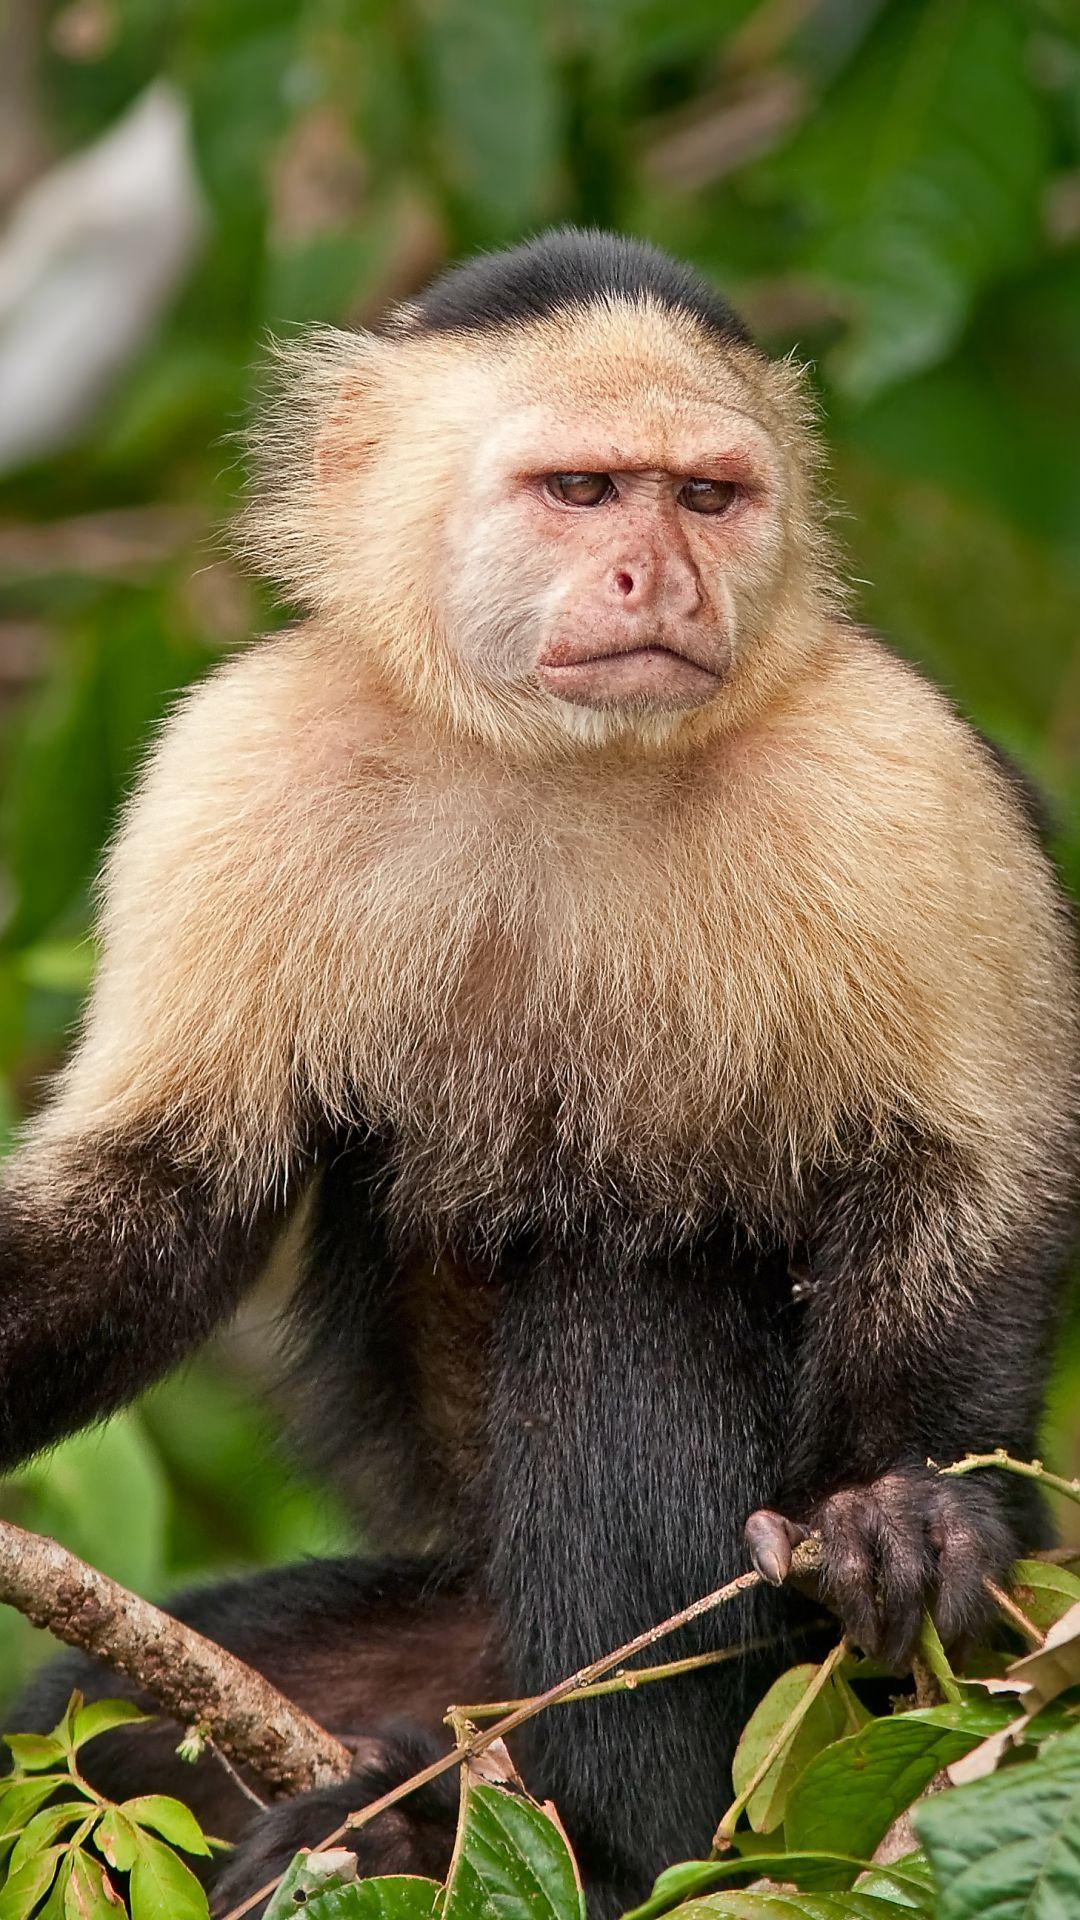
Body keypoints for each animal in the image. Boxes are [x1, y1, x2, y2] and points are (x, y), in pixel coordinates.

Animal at [2, 227, 1078, 1917]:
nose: (664, 576)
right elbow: (158, 1207)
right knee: (95, 1724)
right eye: (581, 490)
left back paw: (584, 1836)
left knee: (619, 1297)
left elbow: (976, 1175)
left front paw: (911, 1509)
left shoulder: (894, 769)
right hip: (443, 1628)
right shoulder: (235, 761)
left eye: (707, 496)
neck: (567, 758)